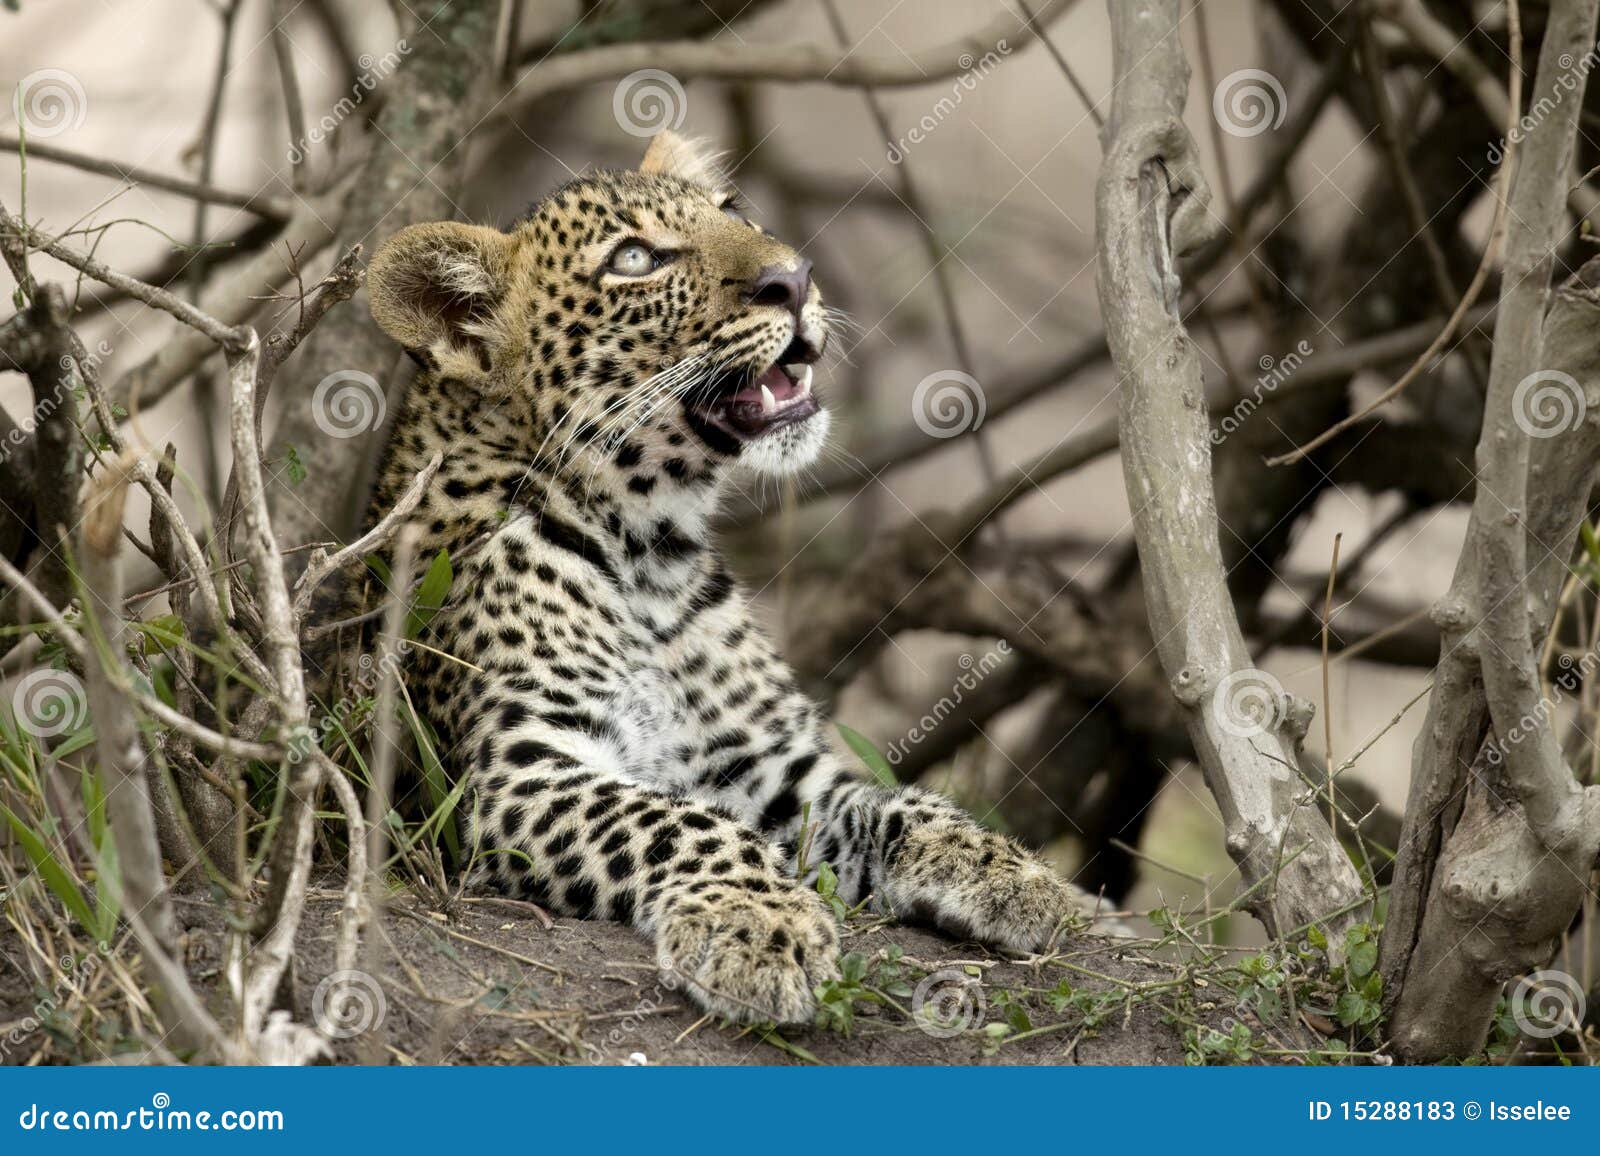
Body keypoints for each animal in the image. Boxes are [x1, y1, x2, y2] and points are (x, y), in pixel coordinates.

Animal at [358, 130, 1107, 1026]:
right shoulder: (512, 768)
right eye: (635, 259)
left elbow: (894, 799)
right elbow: (675, 821)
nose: (795, 278)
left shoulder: (761, 759)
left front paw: (1021, 877)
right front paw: (760, 927)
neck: (648, 551)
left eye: (733, 213)